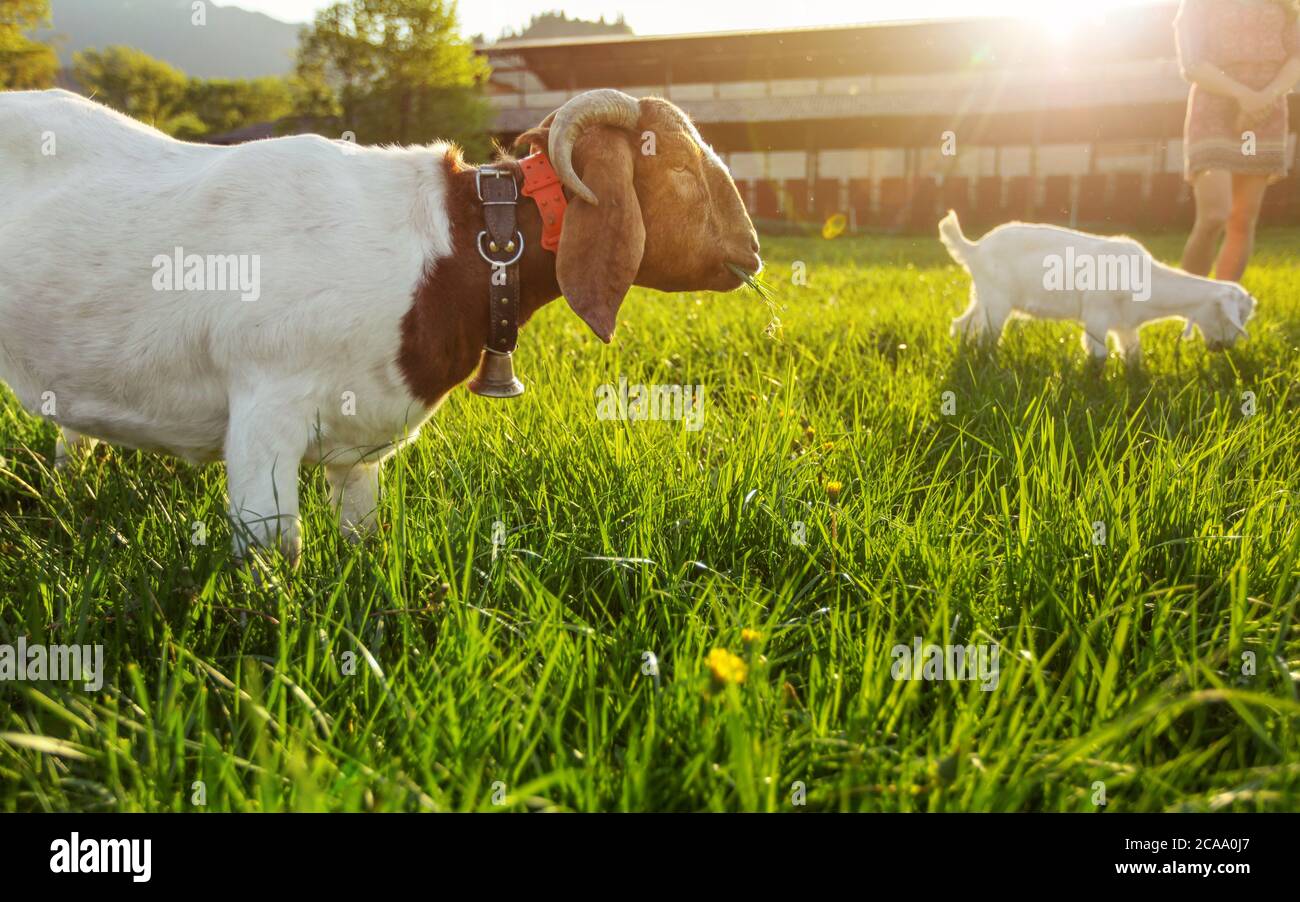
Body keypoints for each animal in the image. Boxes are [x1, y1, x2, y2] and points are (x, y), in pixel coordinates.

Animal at [0, 88, 762, 560]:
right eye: (683, 167)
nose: (753, 250)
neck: (453, 250)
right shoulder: (264, 412)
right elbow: (273, 554)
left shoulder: (360, 437)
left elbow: (362, 538)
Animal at [938, 210, 1255, 361]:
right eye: (1234, 317)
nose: (1223, 349)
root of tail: (974, 249)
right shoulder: (1097, 316)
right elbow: (1098, 358)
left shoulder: (1126, 325)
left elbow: (1133, 357)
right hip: (996, 302)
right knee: (986, 338)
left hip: (982, 297)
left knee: (961, 325)